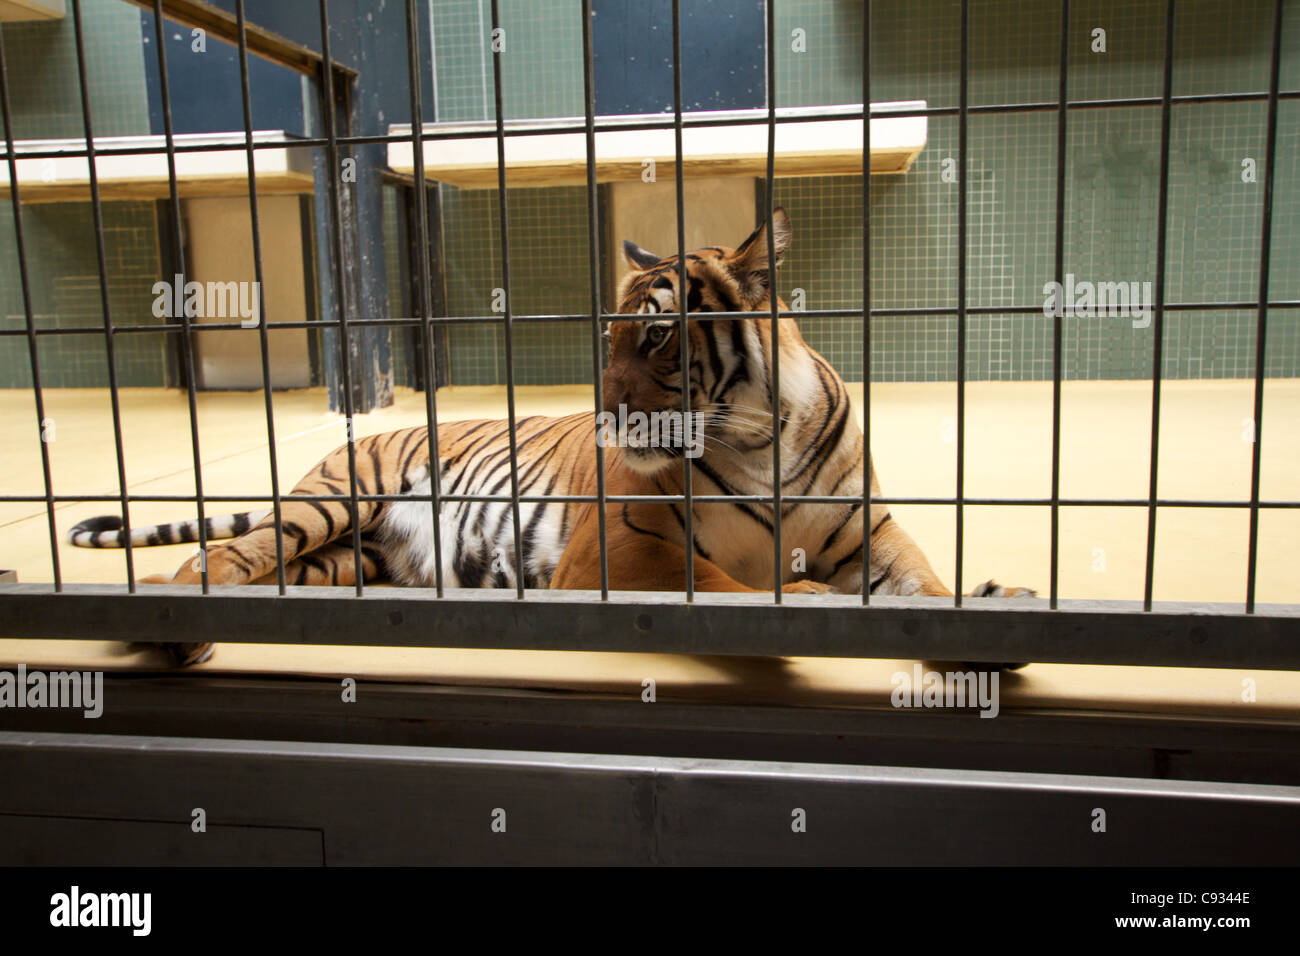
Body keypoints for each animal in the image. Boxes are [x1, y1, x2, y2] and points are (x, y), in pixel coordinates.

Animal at [69, 208, 1034, 666]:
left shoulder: (871, 535)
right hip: (336, 500)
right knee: (228, 554)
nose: (602, 411)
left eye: (655, 335)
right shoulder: (623, 550)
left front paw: (993, 608)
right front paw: (803, 604)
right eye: (605, 337)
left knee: (258, 570)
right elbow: (733, 588)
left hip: (349, 564)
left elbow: (922, 587)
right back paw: (174, 626)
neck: (762, 439)